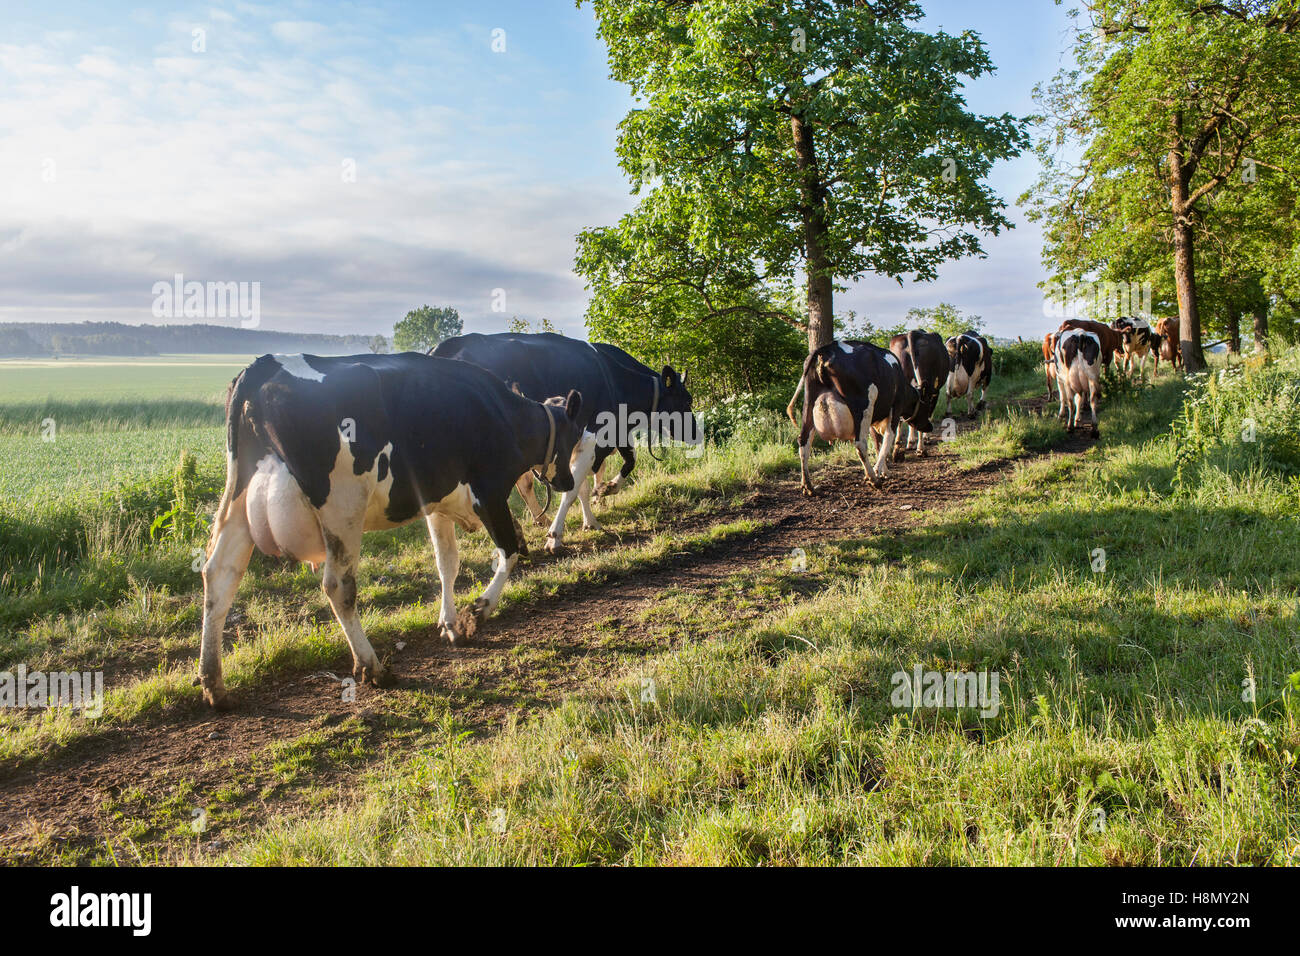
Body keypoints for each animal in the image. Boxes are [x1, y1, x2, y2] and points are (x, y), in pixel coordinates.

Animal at [197, 352, 586, 710]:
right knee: (338, 587)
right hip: (343, 506)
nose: (567, 481)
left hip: (238, 504)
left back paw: (214, 683)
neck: (506, 416)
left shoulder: (436, 501)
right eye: (573, 433)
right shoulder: (488, 493)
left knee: (219, 576)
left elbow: (447, 564)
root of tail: (263, 365)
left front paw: (450, 625)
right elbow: (509, 552)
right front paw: (478, 611)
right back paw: (374, 668)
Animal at [431, 332, 696, 552]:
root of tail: (439, 349)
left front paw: (594, 513)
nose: (696, 433)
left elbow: (590, 482)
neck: (613, 380)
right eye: (686, 401)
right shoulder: (593, 435)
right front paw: (556, 536)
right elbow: (576, 486)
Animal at [786, 340, 911, 496]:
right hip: (864, 404)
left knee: (804, 442)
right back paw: (873, 479)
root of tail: (827, 348)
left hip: (808, 404)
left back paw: (808, 486)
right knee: (860, 443)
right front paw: (880, 472)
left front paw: (883, 471)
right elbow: (887, 438)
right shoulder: (896, 406)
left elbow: (878, 442)